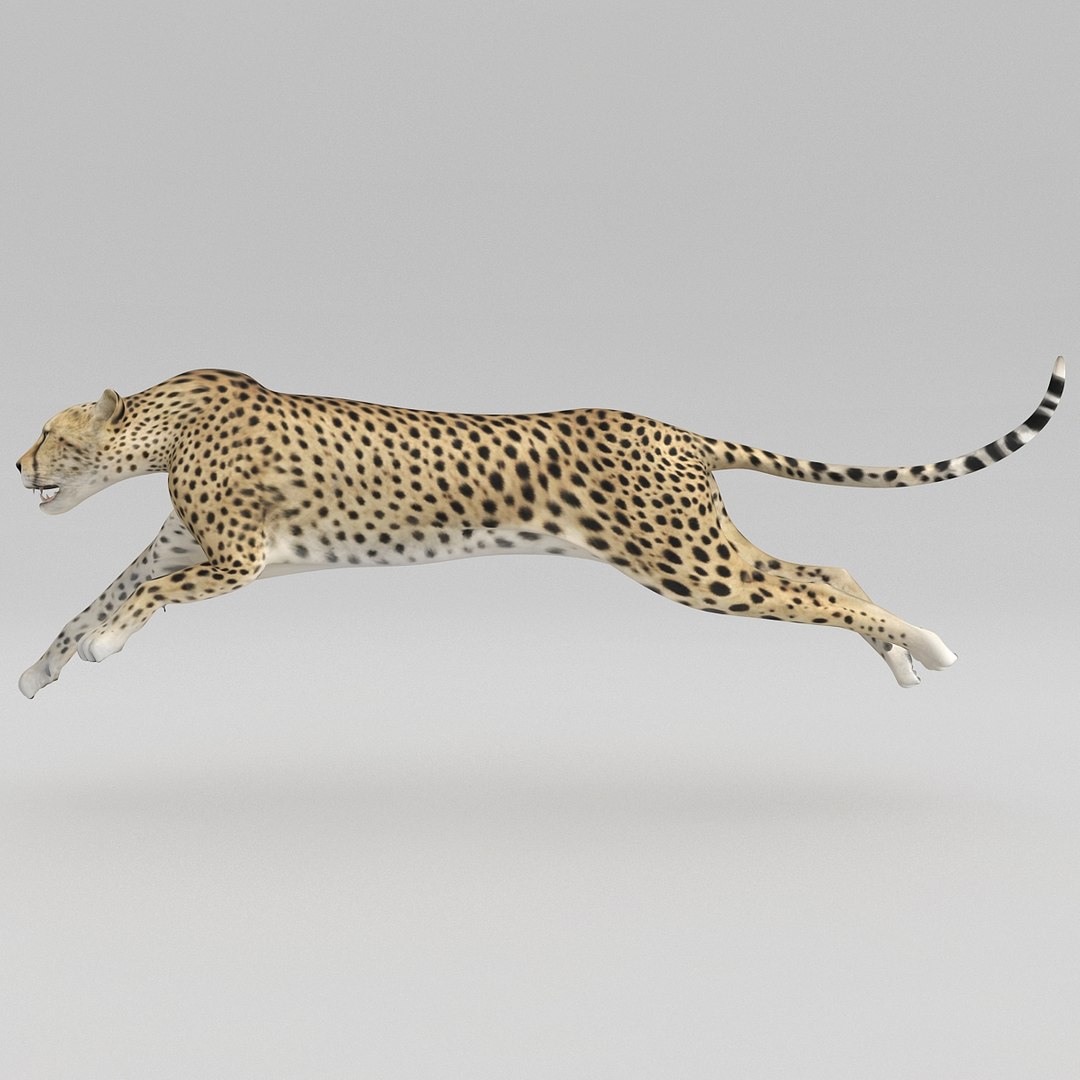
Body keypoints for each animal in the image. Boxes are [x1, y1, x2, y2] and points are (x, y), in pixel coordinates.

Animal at [16, 357, 1065, 698]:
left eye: (47, 433)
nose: (17, 466)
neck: (163, 422)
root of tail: (673, 428)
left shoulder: (231, 560)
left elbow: (140, 599)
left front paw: (103, 649)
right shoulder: (190, 549)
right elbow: (94, 599)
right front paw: (39, 672)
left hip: (692, 563)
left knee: (817, 585)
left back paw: (926, 645)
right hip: (705, 551)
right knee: (830, 571)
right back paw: (908, 655)